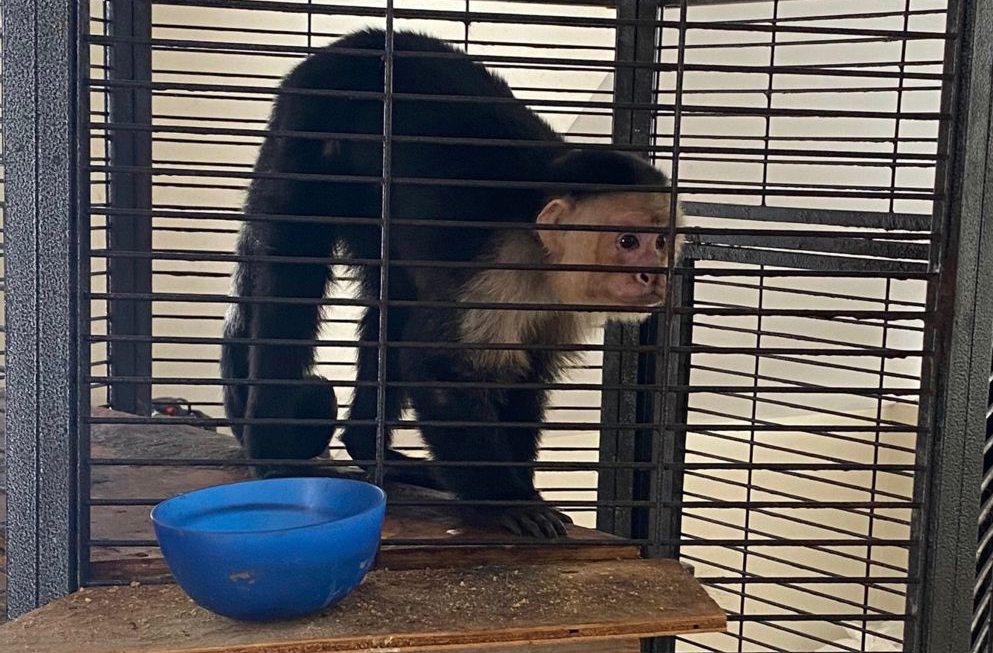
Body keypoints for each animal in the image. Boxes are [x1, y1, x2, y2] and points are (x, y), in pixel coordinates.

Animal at [220, 28, 683, 539]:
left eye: (661, 242)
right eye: (627, 241)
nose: (653, 274)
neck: (545, 260)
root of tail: (350, 45)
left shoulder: (555, 306)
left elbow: (524, 378)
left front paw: (523, 486)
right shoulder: (501, 269)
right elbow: (436, 366)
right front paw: (505, 500)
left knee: (394, 302)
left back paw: (373, 451)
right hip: (311, 136)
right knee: (292, 277)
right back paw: (272, 455)